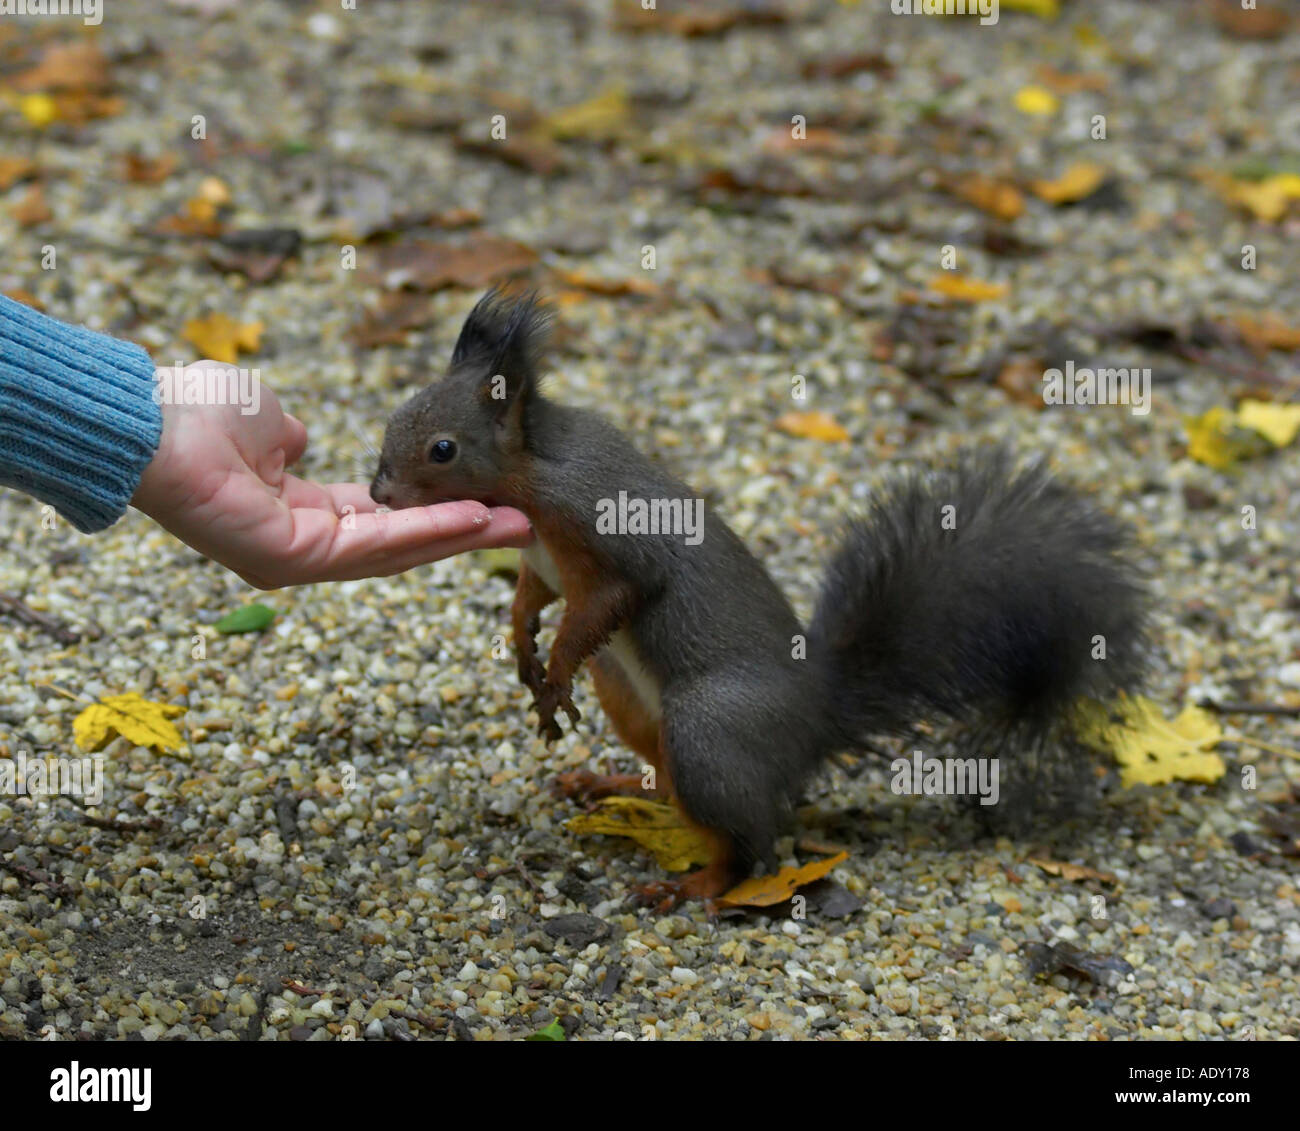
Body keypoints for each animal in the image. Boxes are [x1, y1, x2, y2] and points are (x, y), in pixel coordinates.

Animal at [371, 288, 1149, 911]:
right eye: (395, 415)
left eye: (443, 448)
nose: (378, 494)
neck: (529, 472)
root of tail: (814, 718)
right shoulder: (543, 564)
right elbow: (530, 599)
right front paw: (522, 645)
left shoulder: (604, 543)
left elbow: (607, 601)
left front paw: (555, 670)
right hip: (628, 692)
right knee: (670, 786)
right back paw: (609, 782)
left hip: (708, 727)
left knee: (749, 841)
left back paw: (695, 887)